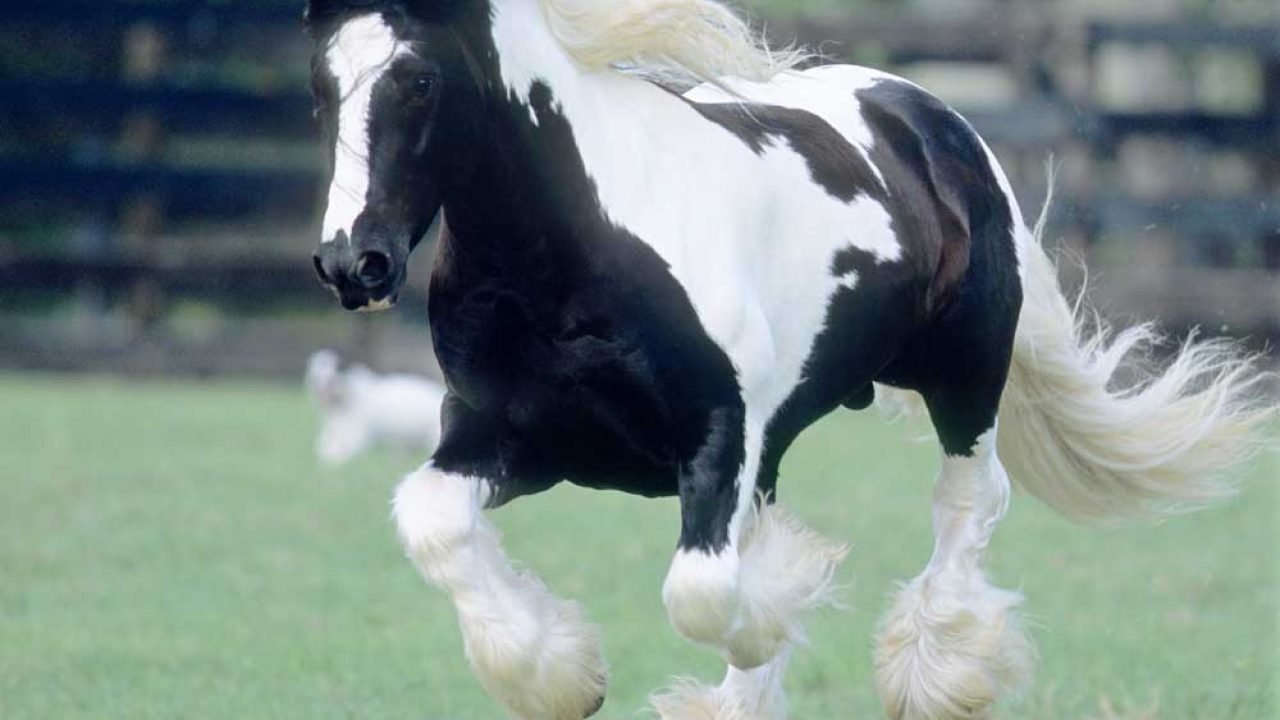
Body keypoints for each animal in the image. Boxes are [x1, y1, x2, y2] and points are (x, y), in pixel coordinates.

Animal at [305, 349, 447, 465]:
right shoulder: (334, 431)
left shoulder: (359, 436)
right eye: (319, 367)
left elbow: (340, 453)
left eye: (338, 366)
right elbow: (321, 447)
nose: (326, 382)